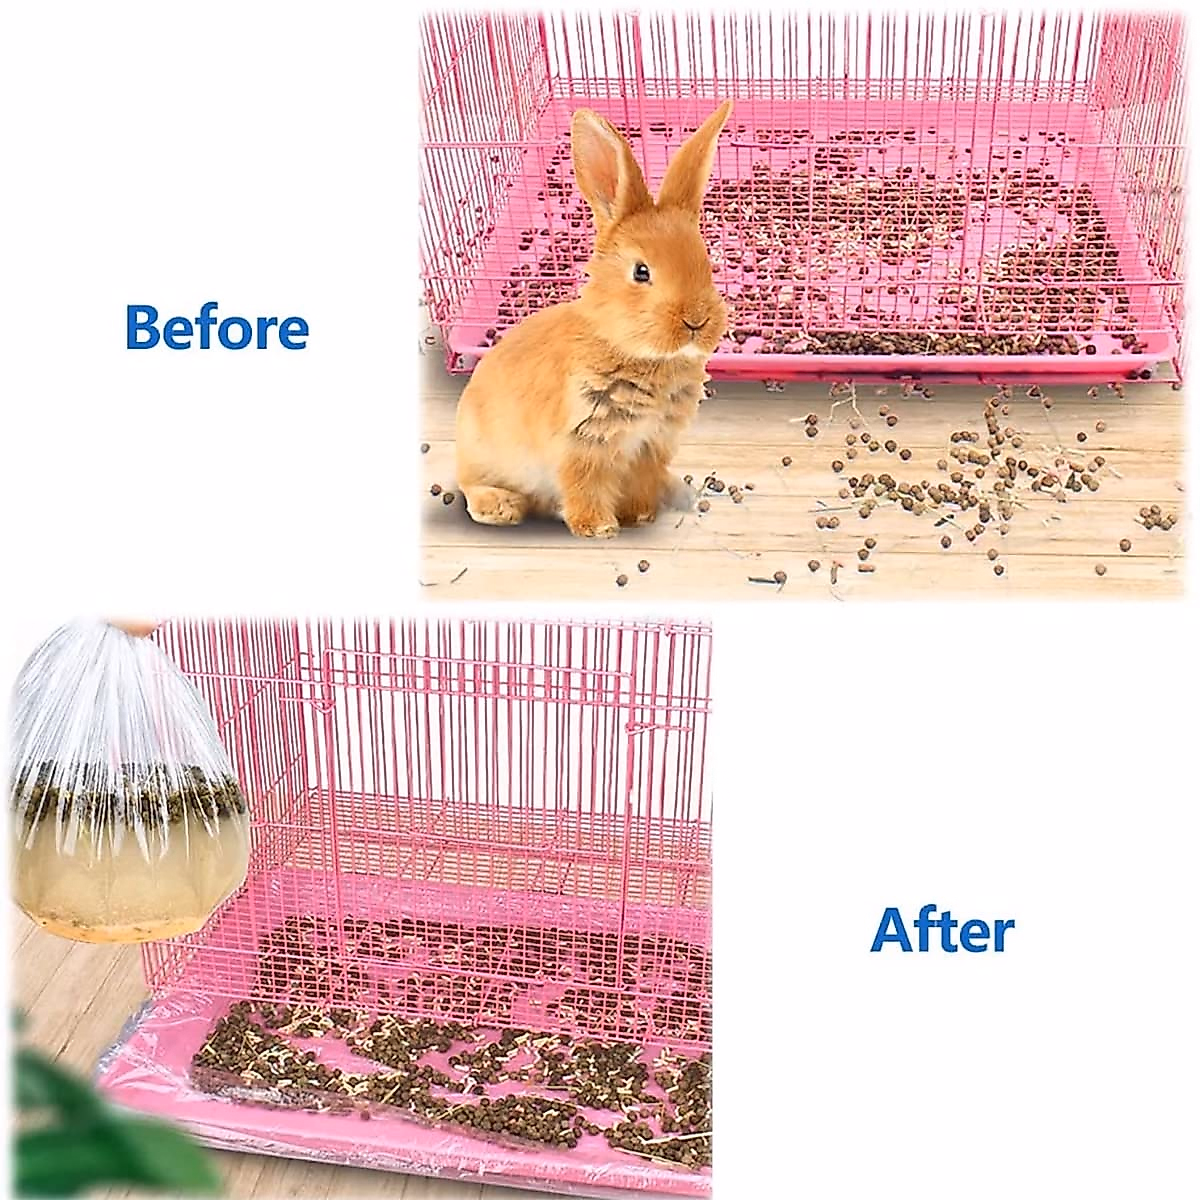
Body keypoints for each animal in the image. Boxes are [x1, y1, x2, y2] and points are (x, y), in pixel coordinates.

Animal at [455, 101, 733, 538]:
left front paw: (640, 516)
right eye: (641, 272)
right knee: (471, 486)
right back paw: (501, 507)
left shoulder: (649, 446)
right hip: (485, 455)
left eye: (706, 263)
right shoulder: (583, 441)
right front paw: (599, 528)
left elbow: (639, 484)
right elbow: (585, 485)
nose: (696, 321)